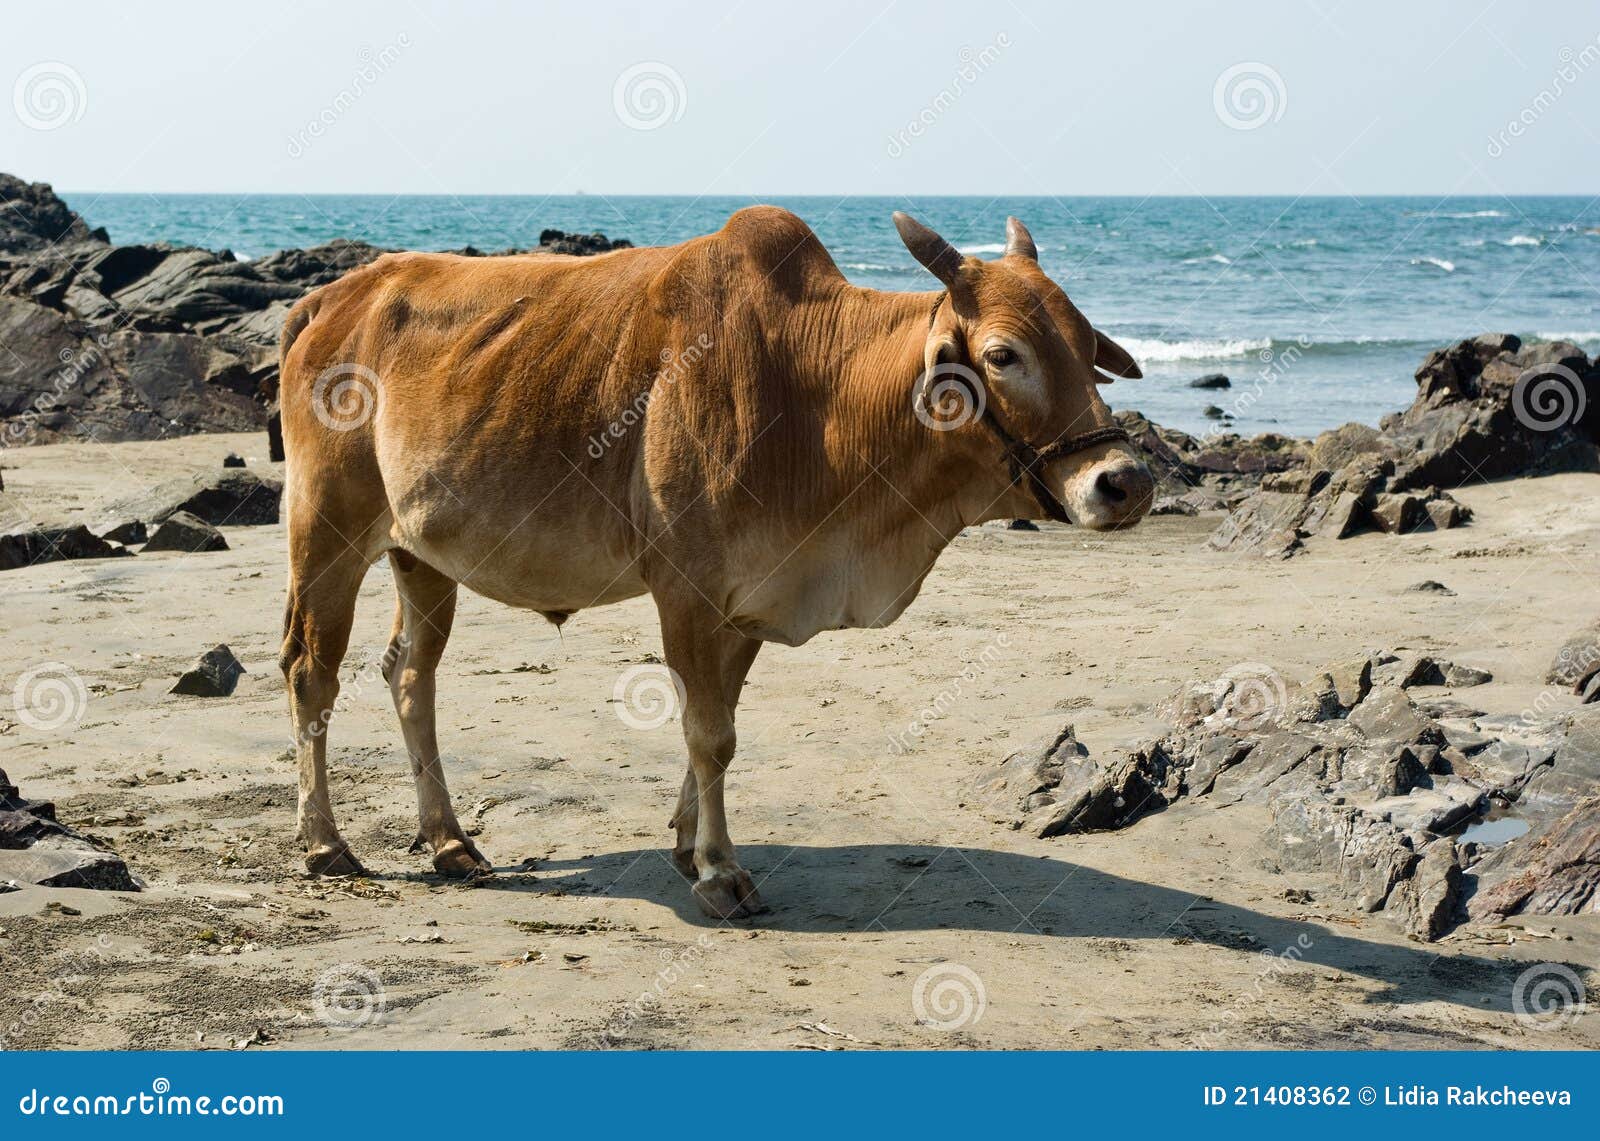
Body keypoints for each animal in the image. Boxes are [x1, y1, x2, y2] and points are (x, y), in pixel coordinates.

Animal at [277, 207, 1153, 918]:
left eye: (1087, 347)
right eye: (1005, 355)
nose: (1125, 482)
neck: (818, 394)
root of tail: (330, 299)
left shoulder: (751, 601)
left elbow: (720, 724)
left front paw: (685, 843)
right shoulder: (685, 591)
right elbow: (709, 732)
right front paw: (720, 872)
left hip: (420, 555)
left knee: (409, 674)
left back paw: (451, 841)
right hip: (326, 531)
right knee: (310, 672)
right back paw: (325, 844)